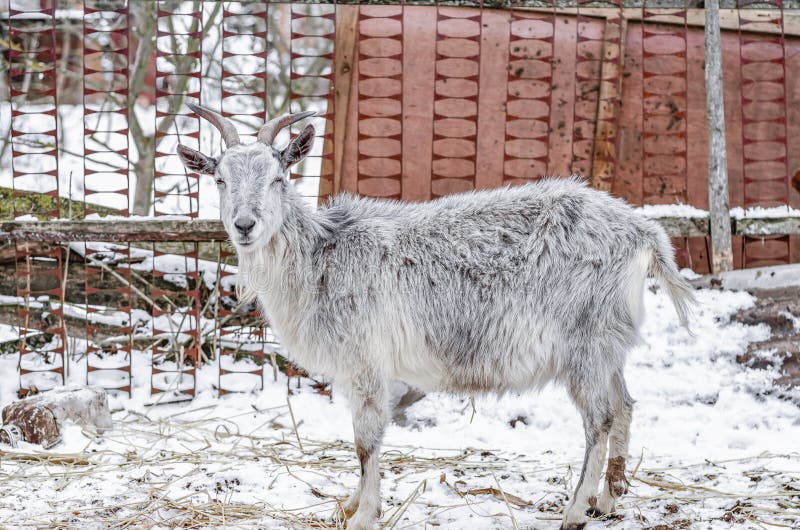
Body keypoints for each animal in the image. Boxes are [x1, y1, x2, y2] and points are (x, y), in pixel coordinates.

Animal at [178, 105, 695, 530]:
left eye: (278, 178)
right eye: (220, 179)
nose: (245, 225)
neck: (320, 256)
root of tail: (644, 233)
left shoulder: (366, 361)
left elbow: (366, 439)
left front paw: (363, 514)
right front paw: (349, 504)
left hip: (585, 342)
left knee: (600, 418)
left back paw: (574, 511)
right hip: (609, 341)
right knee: (624, 404)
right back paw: (607, 500)